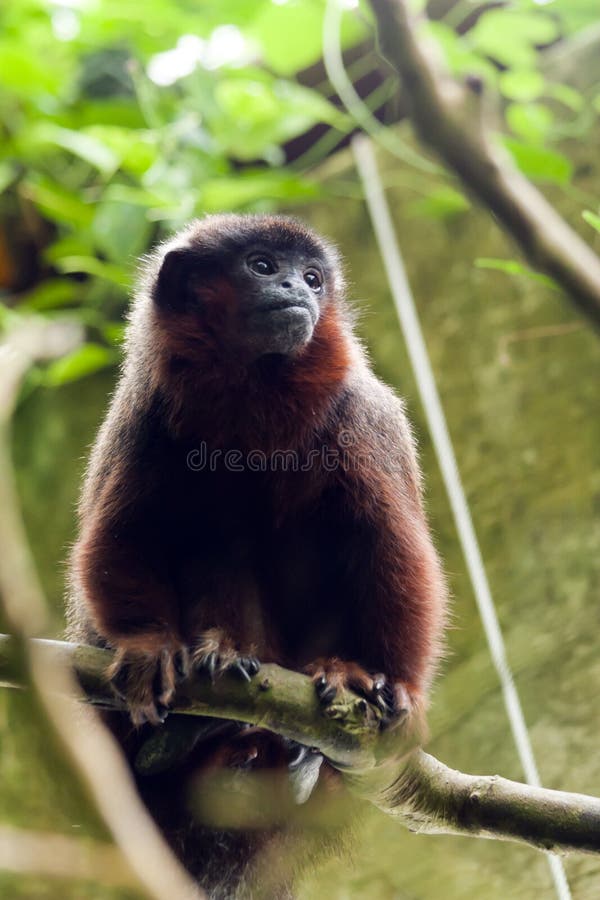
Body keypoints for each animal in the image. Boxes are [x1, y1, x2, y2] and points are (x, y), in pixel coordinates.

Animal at [67, 213, 447, 898]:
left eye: (315, 278)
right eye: (264, 266)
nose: (298, 288)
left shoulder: (363, 418)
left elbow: (393, 549)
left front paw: (396, 684)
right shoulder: (145, 412)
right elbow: (122, 536)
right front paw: (147, 647)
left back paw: (311, 730)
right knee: (217, 540)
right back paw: (208, 705)